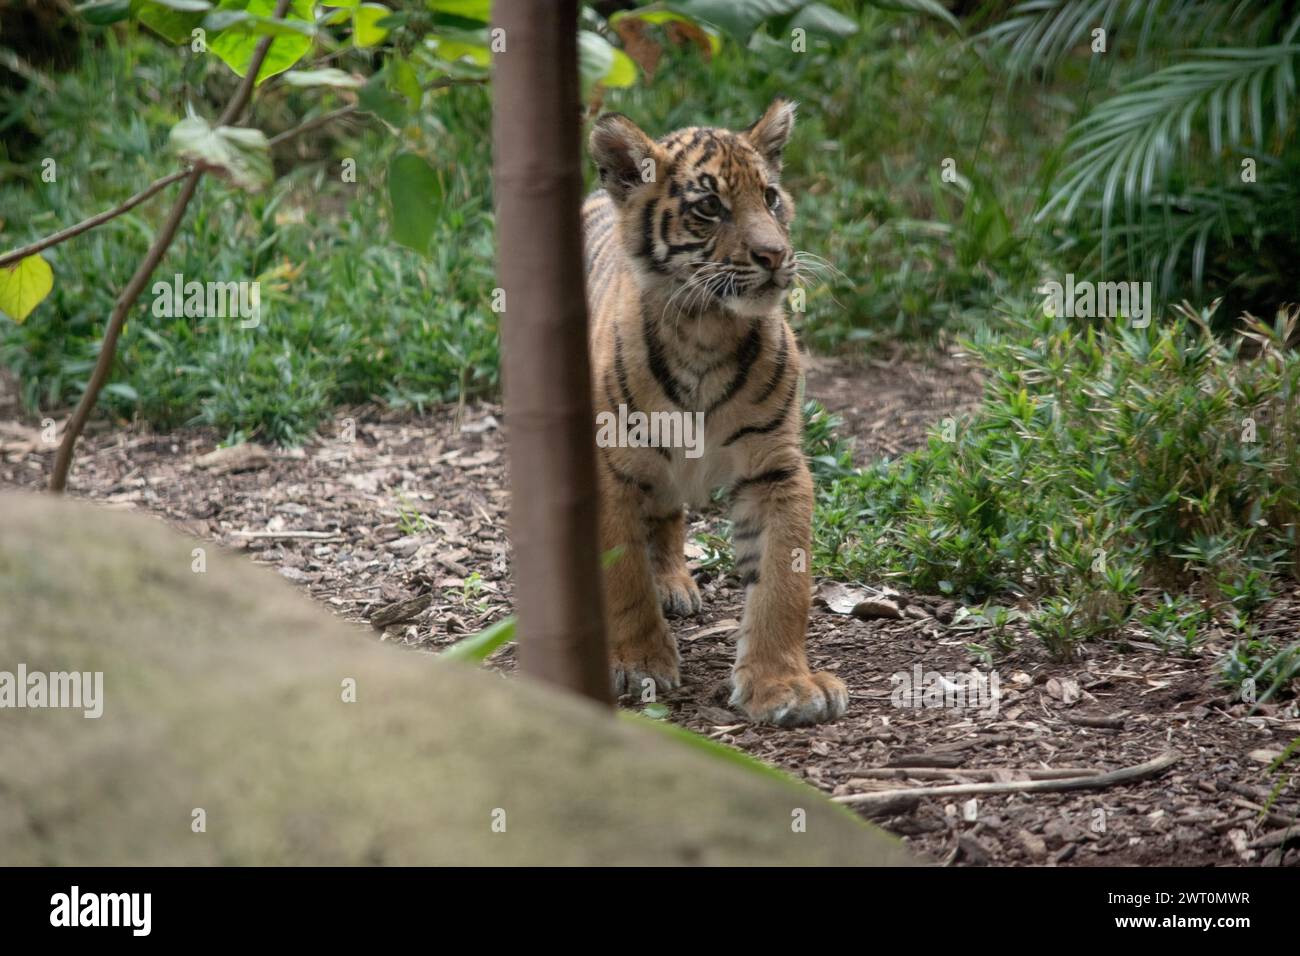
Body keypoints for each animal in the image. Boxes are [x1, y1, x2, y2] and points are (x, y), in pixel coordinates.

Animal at [582, 98, 848, 727]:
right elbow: (623, 575)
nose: (775, 255)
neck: (705, 331)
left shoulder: (774, 468)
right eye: (709, 207)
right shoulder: (613, 467)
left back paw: (675, 584)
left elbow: (782, 584)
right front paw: (639, 662)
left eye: (769, 197)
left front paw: (783, 684)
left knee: (666, 517)